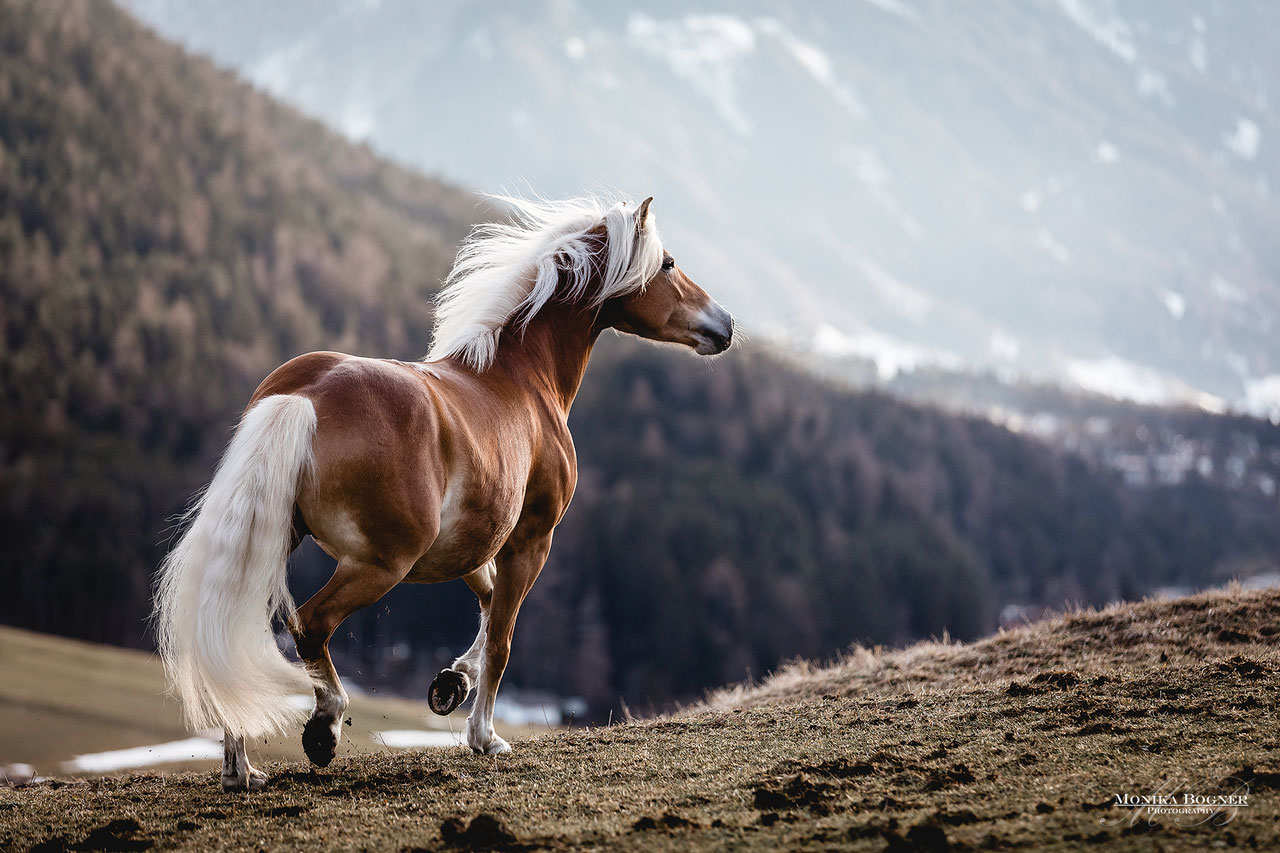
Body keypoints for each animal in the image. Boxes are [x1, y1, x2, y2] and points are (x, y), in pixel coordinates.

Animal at [154, 195, 734, 791]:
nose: (725, 325)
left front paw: (450, 683)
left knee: (232, 625)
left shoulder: (471, 549)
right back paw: (324, 727)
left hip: (277, 535)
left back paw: (240, 768)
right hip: (380, 564)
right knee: (309, 625)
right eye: (668, 264)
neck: (522, 377)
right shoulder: (530, 539)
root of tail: (305, 396)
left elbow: (488, 604)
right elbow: (503, 635)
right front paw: (484, 736)